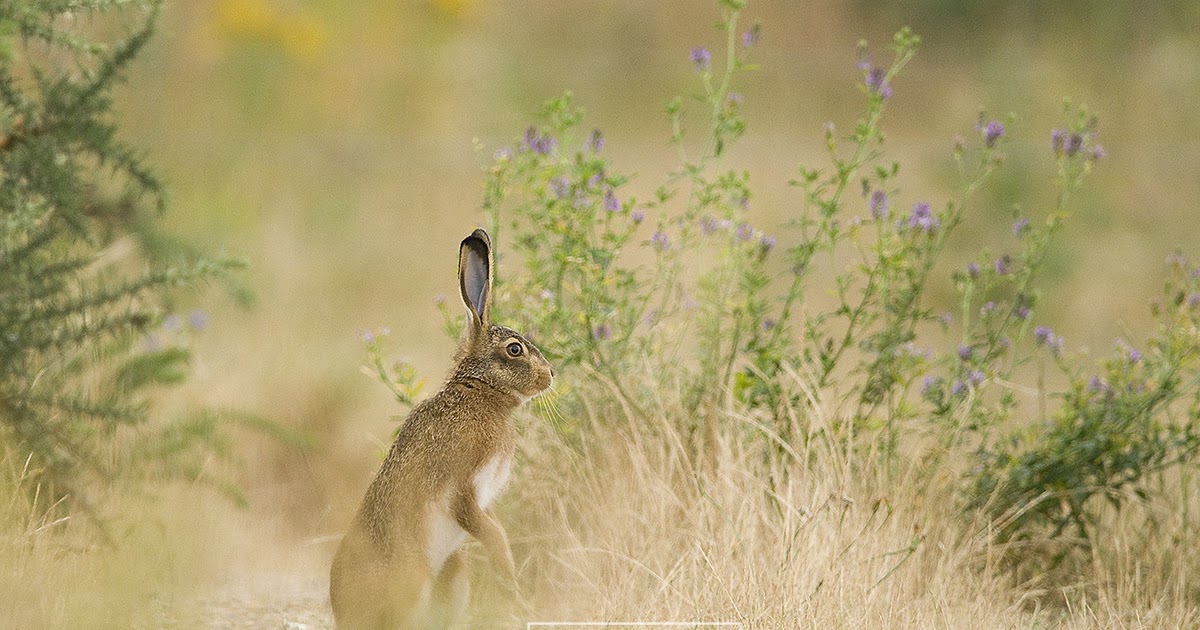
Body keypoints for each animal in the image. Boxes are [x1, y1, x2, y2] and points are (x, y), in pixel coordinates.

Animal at [330, 228, 554, 629]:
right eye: (515, 350)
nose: (551, 376)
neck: (480, 394)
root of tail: (345, 614)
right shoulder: (461, 486)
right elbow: (492, 533)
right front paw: (508, 574)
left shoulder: (483, 500)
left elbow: (494, 526)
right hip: (412, 579)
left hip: (455, 569)